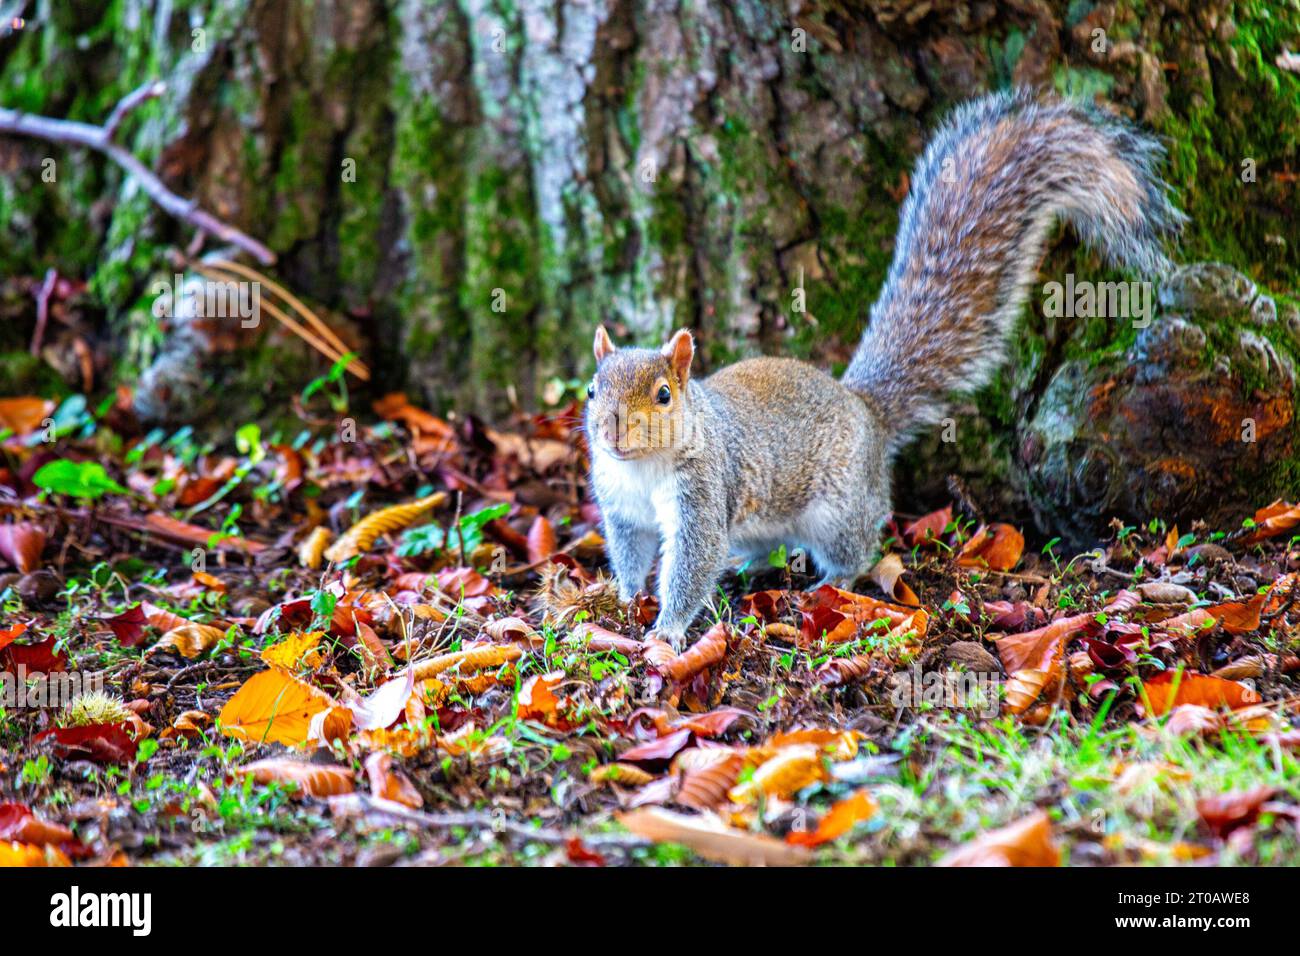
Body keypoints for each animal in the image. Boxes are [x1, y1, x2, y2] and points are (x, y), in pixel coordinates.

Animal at [585, 89, 1185, 648]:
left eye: (664, 394)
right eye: (592, 390)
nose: (612, 431)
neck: (644, 467)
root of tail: (864, 407)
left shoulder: (703, 495)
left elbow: (691, 562)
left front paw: (665, 630)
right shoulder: (622, 508)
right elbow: (632, 553)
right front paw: (625, 597)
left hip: (838, 509)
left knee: (853, 548)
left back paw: (828, 582)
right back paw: (748, 567)